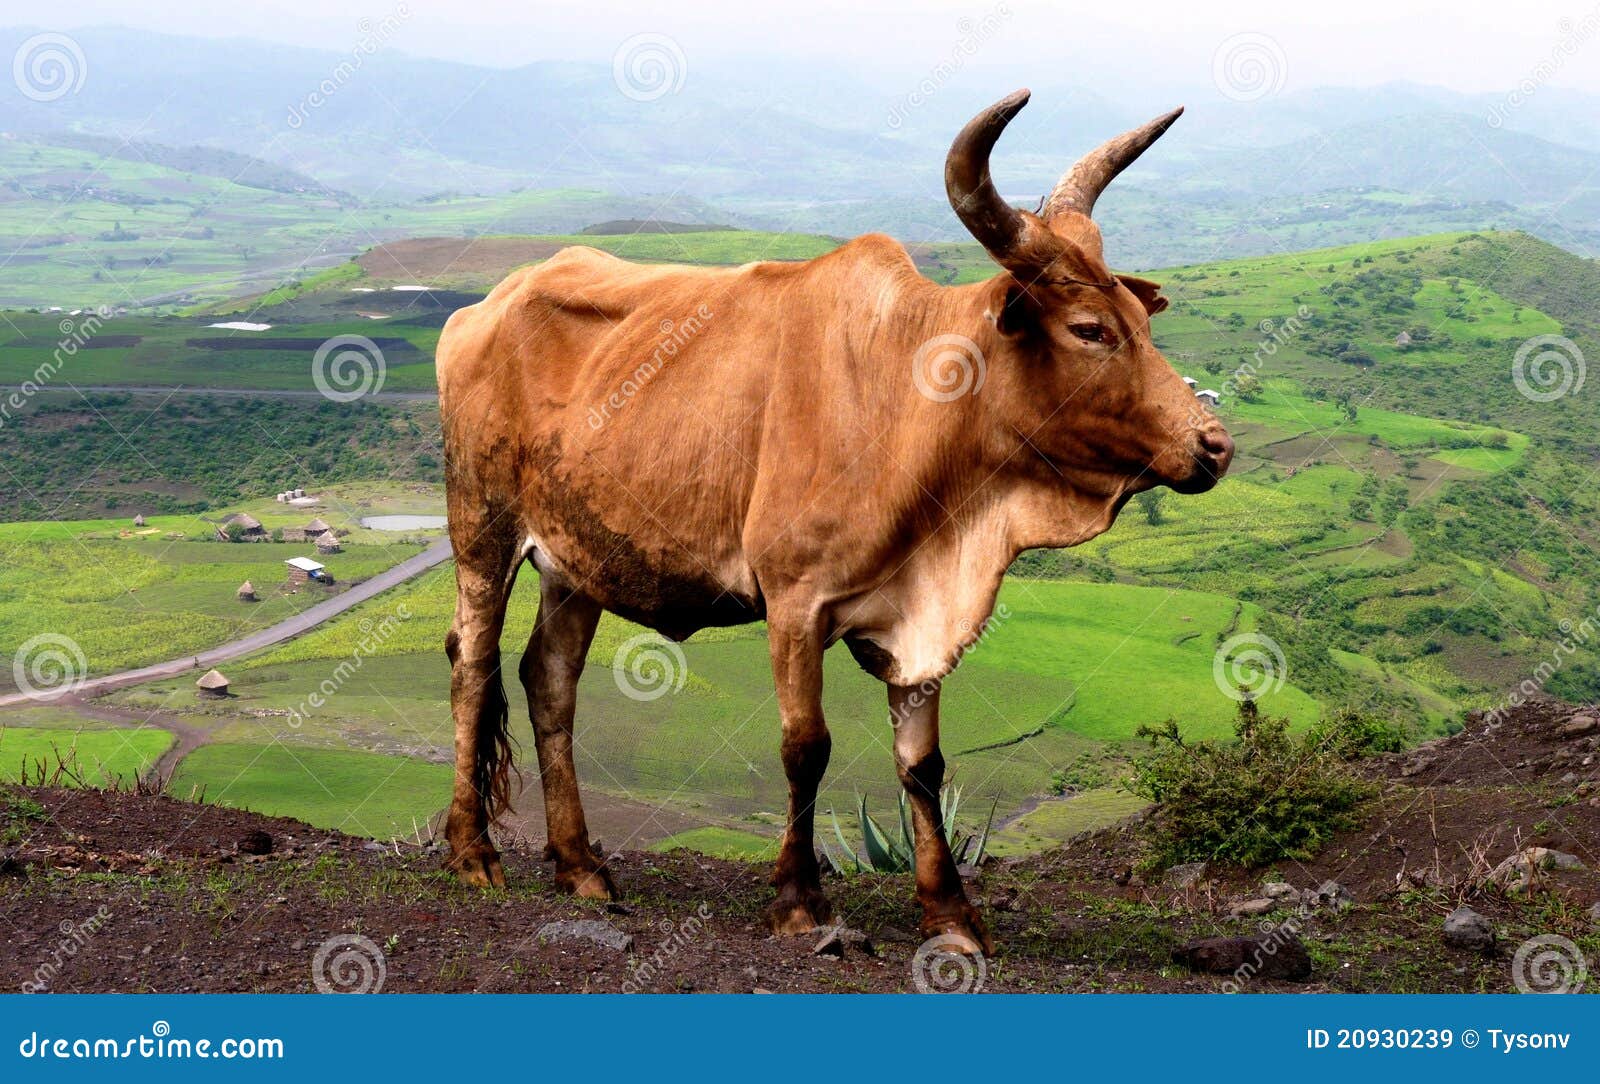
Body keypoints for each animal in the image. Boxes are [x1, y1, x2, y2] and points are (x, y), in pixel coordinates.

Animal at [435, 89, 1232, 955]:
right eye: (1090, 329)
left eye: (1141, 322)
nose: (1214, 445)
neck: (911, 394)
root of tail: (486, 306)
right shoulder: (795, 602)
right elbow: (805, 748)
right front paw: (799, 900)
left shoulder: (919, 625)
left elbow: (923, 764)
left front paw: (950, 913)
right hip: (482, 533)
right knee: (473, 668)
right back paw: (473, 853)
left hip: (579, 563)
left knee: (548, 680)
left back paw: (580, 865)